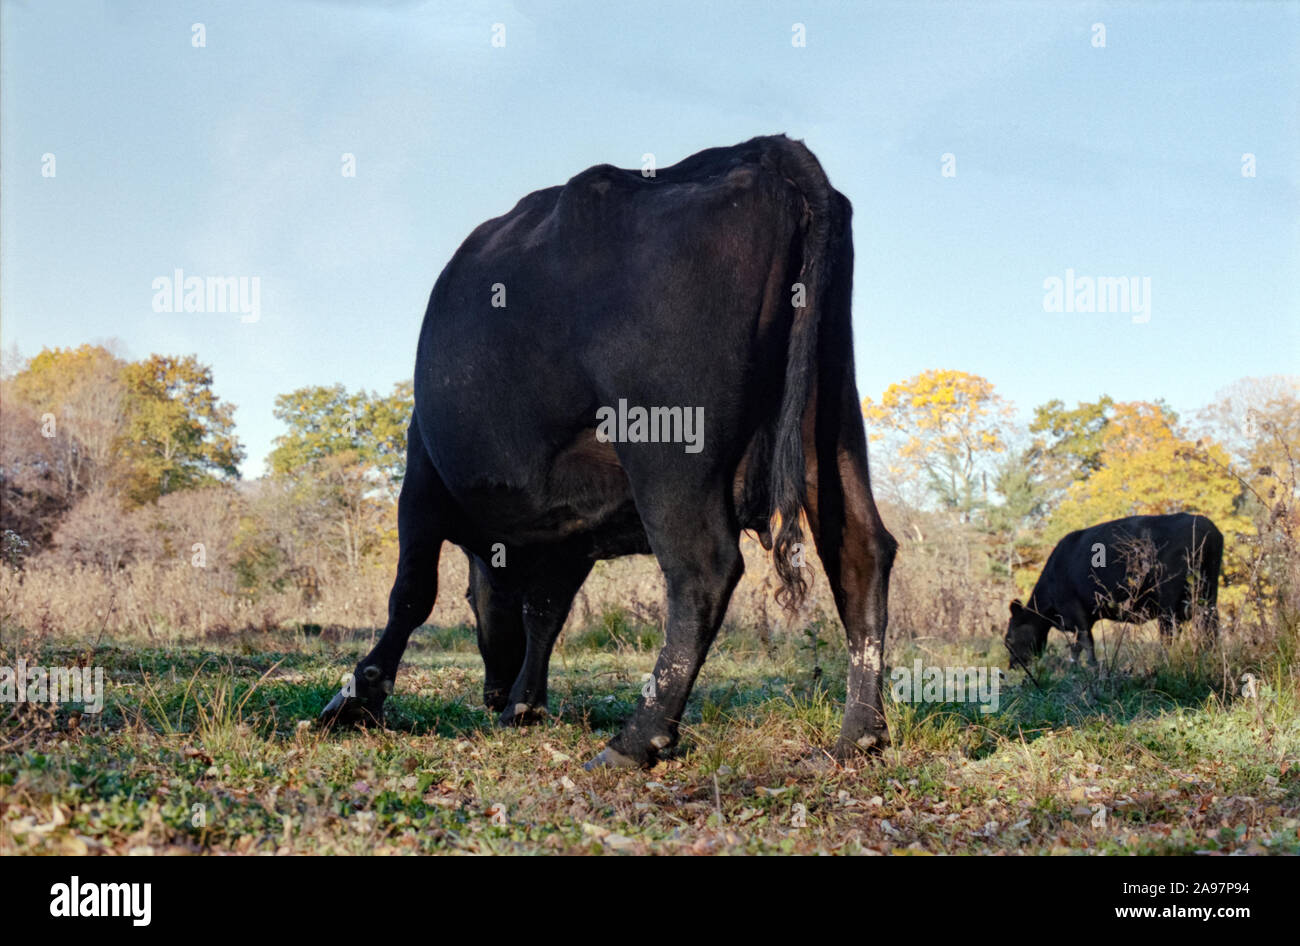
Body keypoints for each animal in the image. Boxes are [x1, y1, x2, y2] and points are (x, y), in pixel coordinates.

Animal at [319, 135, 897, 768]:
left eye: (472, 601)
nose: (493, 691)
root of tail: (759, 150)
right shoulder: (570, 533)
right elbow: (546, 612)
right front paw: (524, 704)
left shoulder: (420, 478)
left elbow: (411, 595)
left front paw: (356, 700)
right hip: (830, 420)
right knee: (863, 551)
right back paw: (857, 736)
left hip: (669, 447)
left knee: (703, 568)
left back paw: (636, 738)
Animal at [1004, 513, 1222, 668]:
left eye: (1009, 639)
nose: (1012, 666)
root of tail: (1206, 525)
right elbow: (1079, 645)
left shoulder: (1074, 608)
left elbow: (1086, 642)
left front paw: (1089, 667)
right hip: (1207, 593)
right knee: (1210, 627)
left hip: (1169, 600)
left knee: (1170, 632)